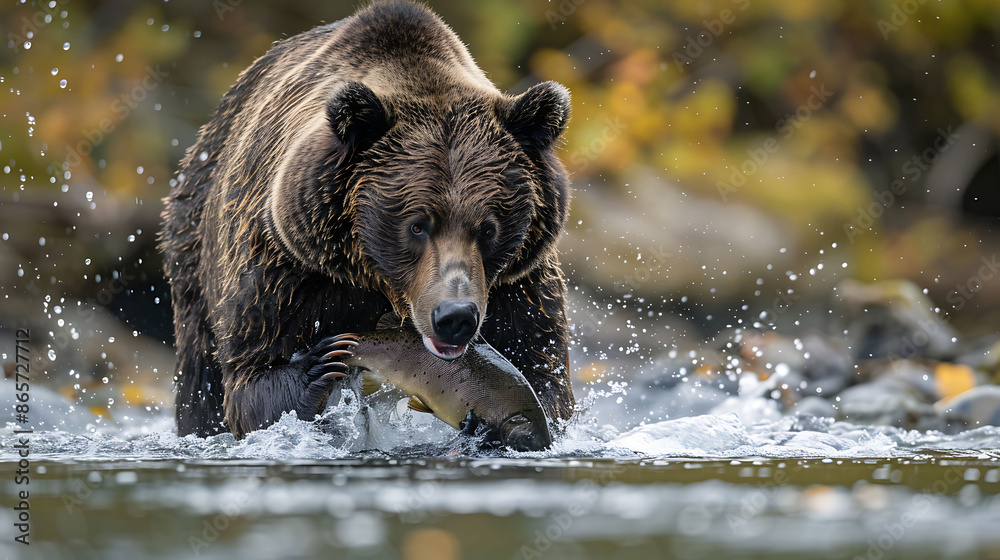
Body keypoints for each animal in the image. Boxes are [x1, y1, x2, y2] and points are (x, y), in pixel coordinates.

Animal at [159, 0, 575, 439]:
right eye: (416, 225)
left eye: (489, 228)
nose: (455, 317)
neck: (371, 278)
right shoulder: (282, 264)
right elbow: (252, 379)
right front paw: (315, 366)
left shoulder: (520, 281)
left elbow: (541, 365)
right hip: (193, 245)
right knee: (201, 375)